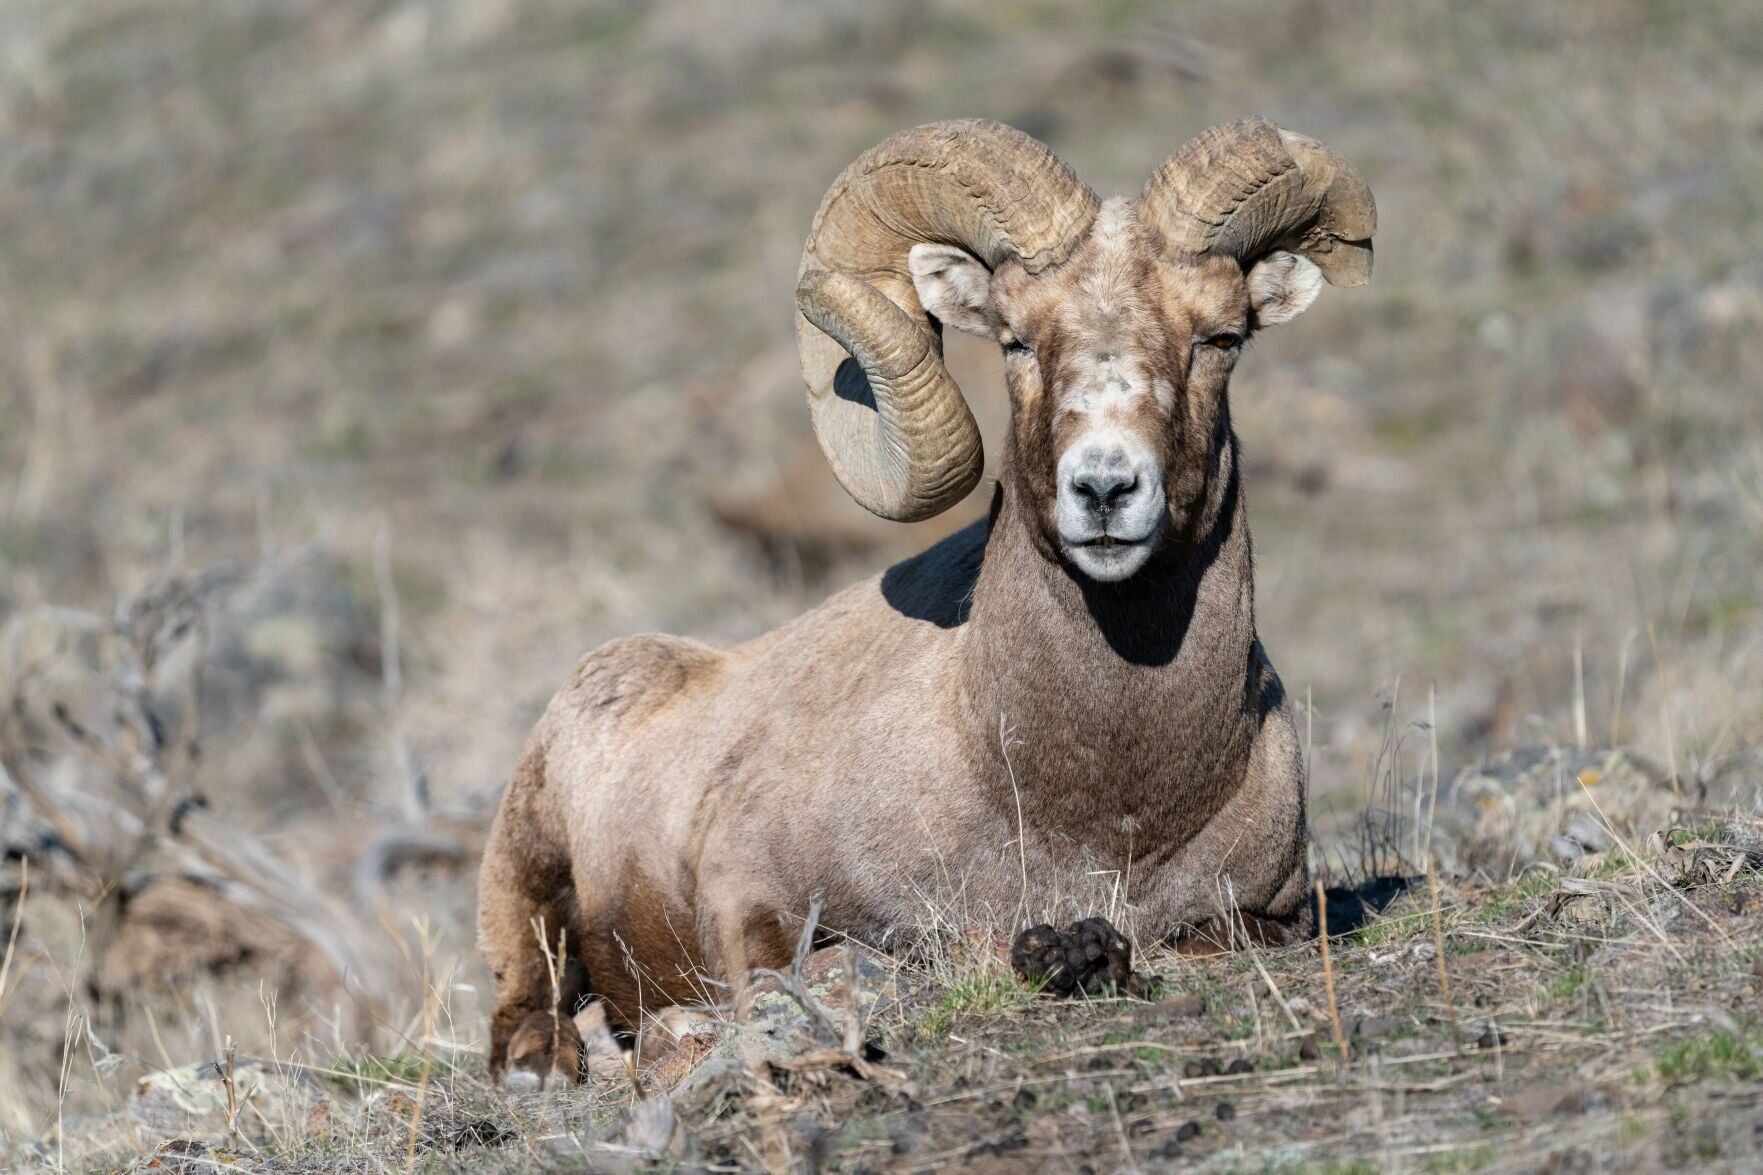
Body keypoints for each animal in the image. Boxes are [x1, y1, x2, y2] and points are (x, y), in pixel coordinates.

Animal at [479, 117, 1376, 1086]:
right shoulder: (748, 900)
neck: (1098, 811)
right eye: (1015, 339)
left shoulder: (1267, 912)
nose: (1104, 488)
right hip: (527, 872)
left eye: (1220, 337)